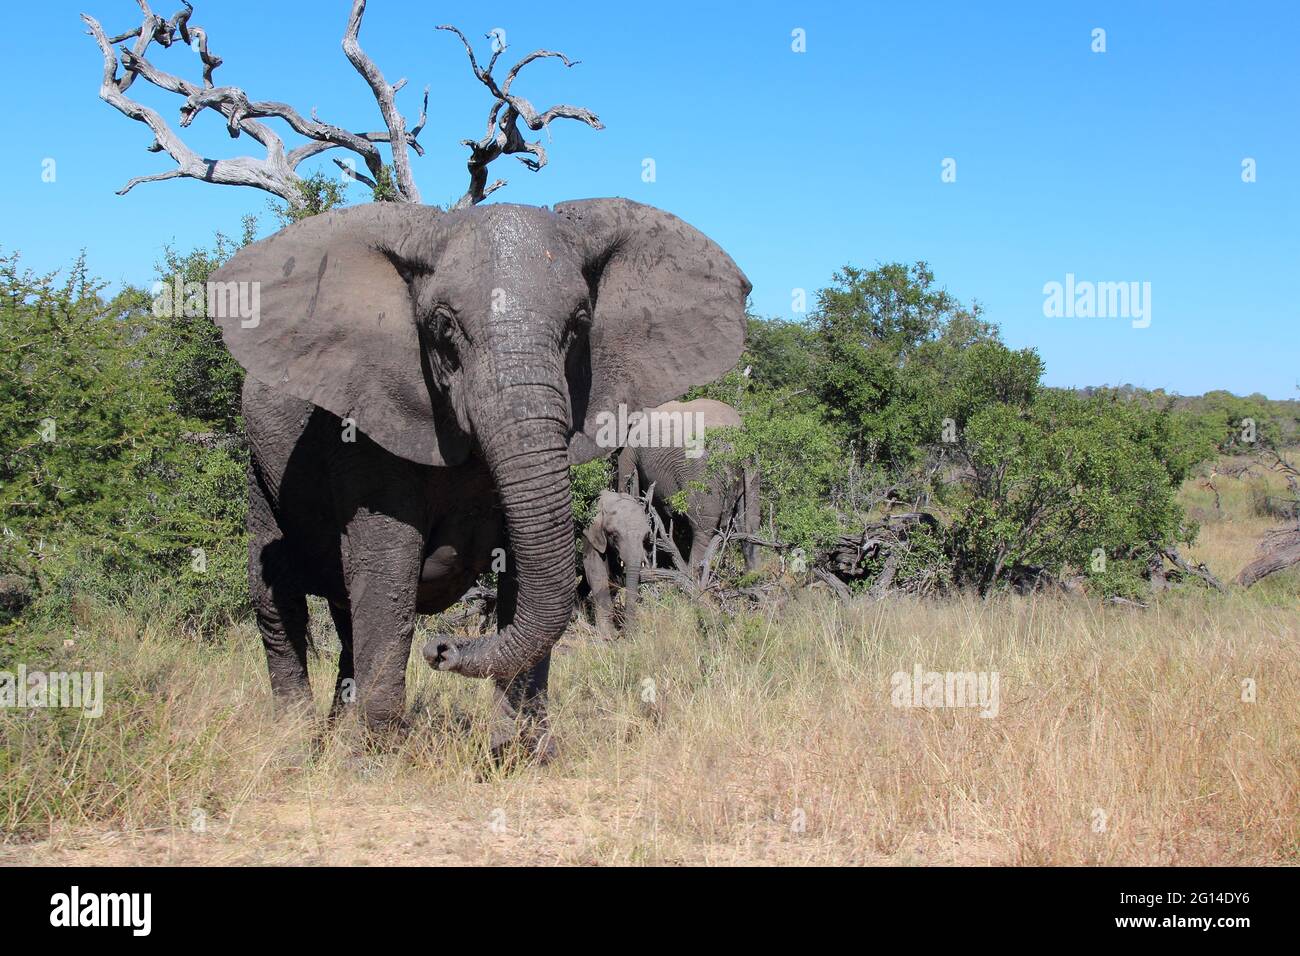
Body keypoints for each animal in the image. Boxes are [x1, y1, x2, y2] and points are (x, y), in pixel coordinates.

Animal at [580, 490, 652, 639]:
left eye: (645, 538)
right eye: (614, 535)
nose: (627, 633)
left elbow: (614, 580)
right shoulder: (591, 534)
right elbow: (597, 574)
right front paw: (608, 636)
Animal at [616, 398, 760, 576]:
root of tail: (736, 443)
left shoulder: (630, 449)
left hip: (702, 474)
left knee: (703, 527)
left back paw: (691, 575)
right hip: (752, 467)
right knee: (750, 519)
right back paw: (754, 575)